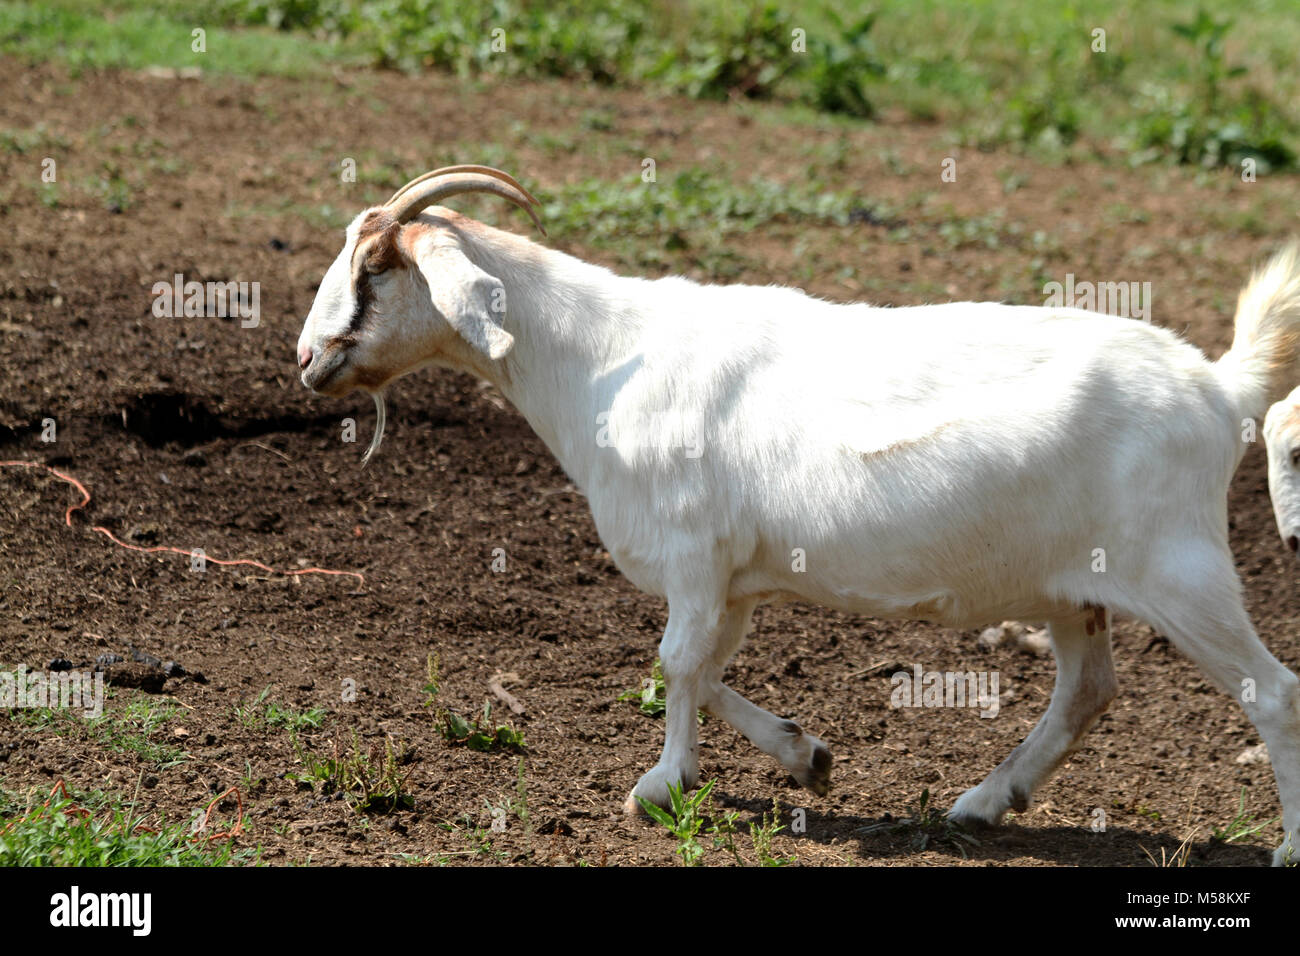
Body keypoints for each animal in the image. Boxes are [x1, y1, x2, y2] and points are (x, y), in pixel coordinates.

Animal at [296, 166, 1300, 864]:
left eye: (377, 268)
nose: (307, 359)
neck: (602, 359)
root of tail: (1220, 387)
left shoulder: (695, 555)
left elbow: (676, 664)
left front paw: (659, 786)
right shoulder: (732, 579)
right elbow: (704, 670)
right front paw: (803, 754)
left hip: (1181, 571)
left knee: (1273, 692)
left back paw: (1285, 846)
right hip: (1072, 585)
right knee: (1088, 691)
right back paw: (983, 803)